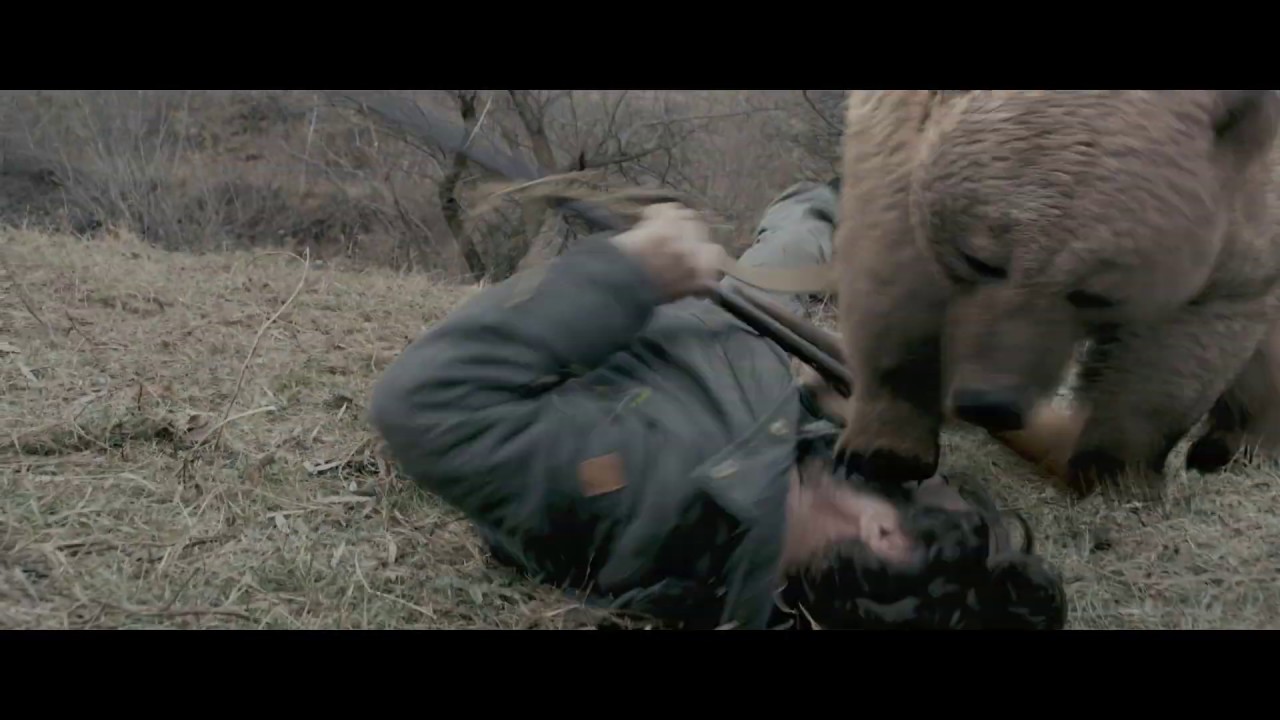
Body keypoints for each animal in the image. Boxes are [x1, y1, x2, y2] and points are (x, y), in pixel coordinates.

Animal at [828, 90, 1280, 497]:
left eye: (1091, 294)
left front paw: (1112, 471)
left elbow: (1182, 342)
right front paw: (886, 449)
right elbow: (894, 252)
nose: (988, 402)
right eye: (978, 258)